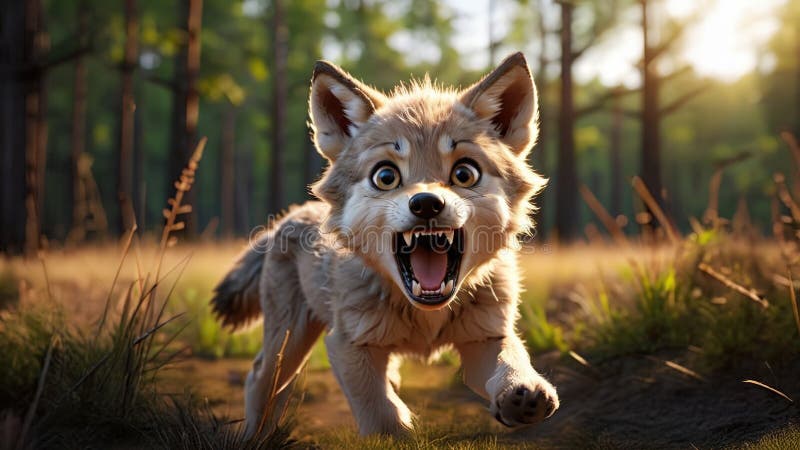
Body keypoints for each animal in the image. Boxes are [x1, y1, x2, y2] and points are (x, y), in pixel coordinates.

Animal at [211, 52, 559, 438]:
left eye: (465, 174)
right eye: (386, 176)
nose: (426, 204)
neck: (426, 315)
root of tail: (289, 216)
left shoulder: (486, 336)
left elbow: (513, 361)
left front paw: (522, 394)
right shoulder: (349, 344)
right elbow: (381, 416)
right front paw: (398, 430)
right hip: (289, 342)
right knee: (260, 378)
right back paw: (255, 435)